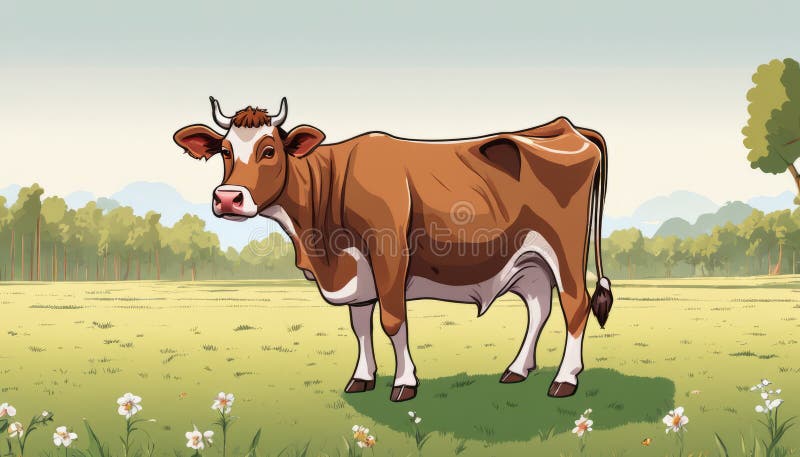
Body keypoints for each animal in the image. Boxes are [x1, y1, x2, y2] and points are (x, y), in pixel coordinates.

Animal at [173, 97, 613, 402]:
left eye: (269, 150)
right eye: (224, 151)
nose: (228, 199)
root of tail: (569, 128)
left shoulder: (388, 255)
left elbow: (391, 321)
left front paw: (404, 383)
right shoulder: (356, 272)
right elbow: (359, 326)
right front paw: (362, 377)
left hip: (564, 247)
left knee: (576, 305)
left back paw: (564, 380)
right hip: (529, 258)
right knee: (540, 305)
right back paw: (518, 370)